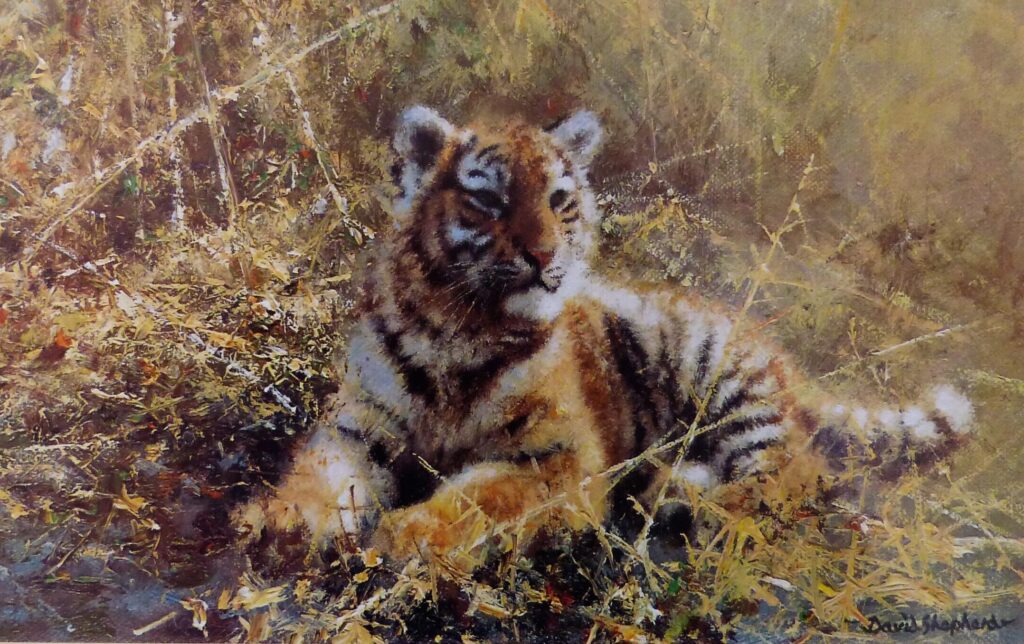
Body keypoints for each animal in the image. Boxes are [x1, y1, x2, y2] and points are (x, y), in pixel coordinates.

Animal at [235, 106, 975, 568]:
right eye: (489, 200)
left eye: (560, 200)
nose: (543, 255)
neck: (461, 327)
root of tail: (786, 366)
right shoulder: (358, 427)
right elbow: (319, 472)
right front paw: (277, 518)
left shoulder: (562, 459)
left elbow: (482, 496)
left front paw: (412, 533)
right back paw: (671, 486)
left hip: (723, 378)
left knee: (788, 475)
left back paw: (682, 502)